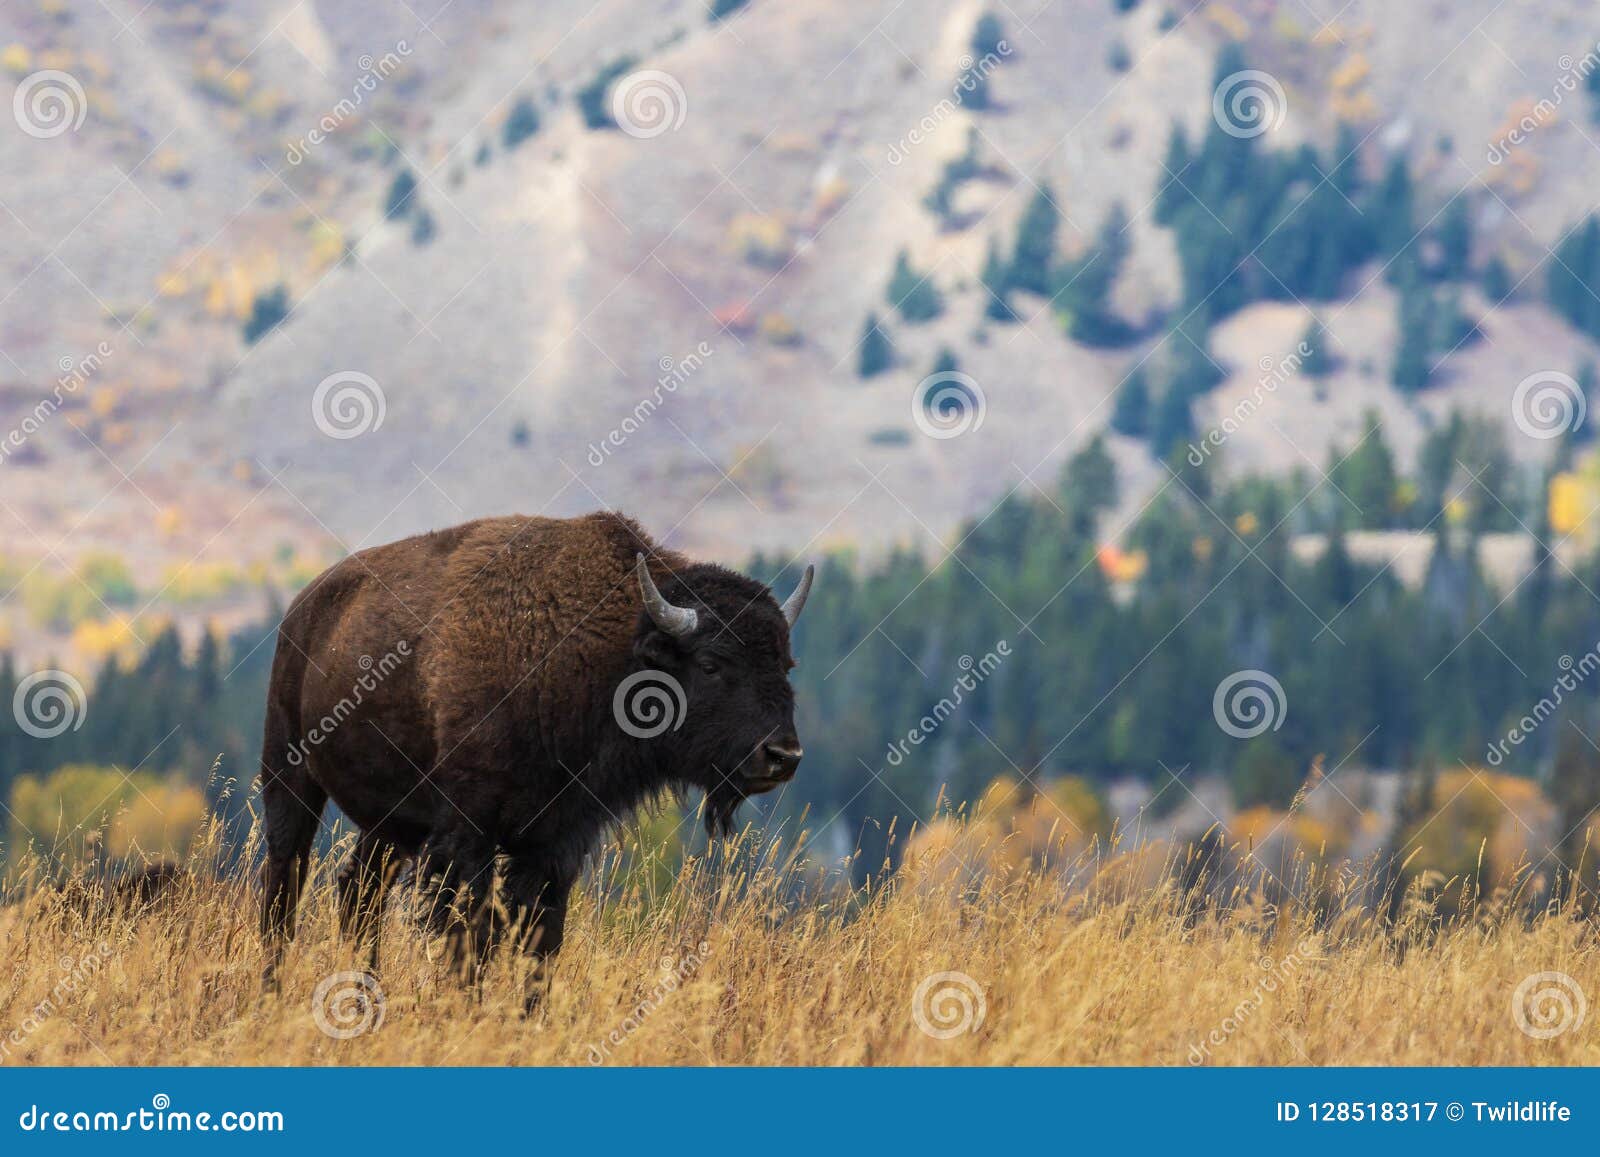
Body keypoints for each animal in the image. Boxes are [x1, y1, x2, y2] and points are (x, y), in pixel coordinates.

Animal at [257, 511, 813, 1006]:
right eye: (712, 663)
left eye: (786, 664)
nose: (783, 756)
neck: (604, 654)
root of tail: (303, 608)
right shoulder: (468, 835)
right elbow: (472, 938)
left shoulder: (556, 843)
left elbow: (541, 943)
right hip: (289, 775)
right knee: (285, 882)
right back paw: (272, 994)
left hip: (389, 823)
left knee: (359, 890)